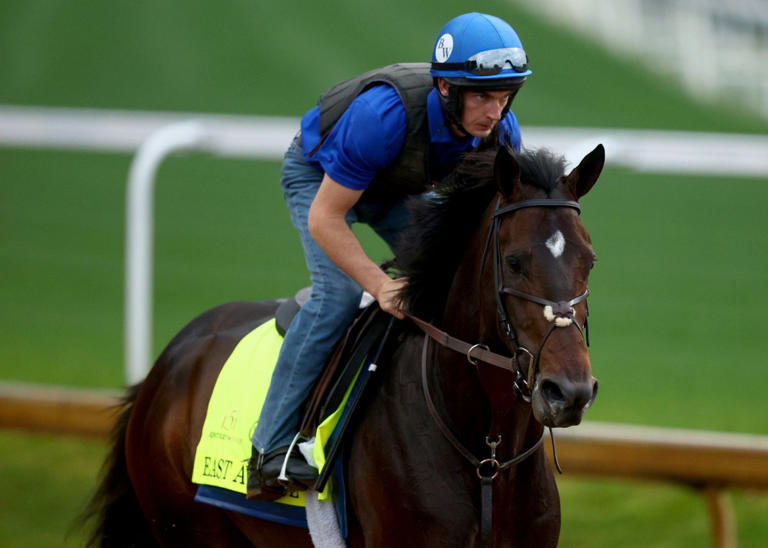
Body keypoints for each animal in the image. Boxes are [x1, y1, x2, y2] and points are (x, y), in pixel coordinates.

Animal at [84, 143, 604, 547]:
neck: (489, 459)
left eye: (590, 260)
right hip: (188, 526)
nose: (569, 392)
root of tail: (167, 363)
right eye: (515, 261)